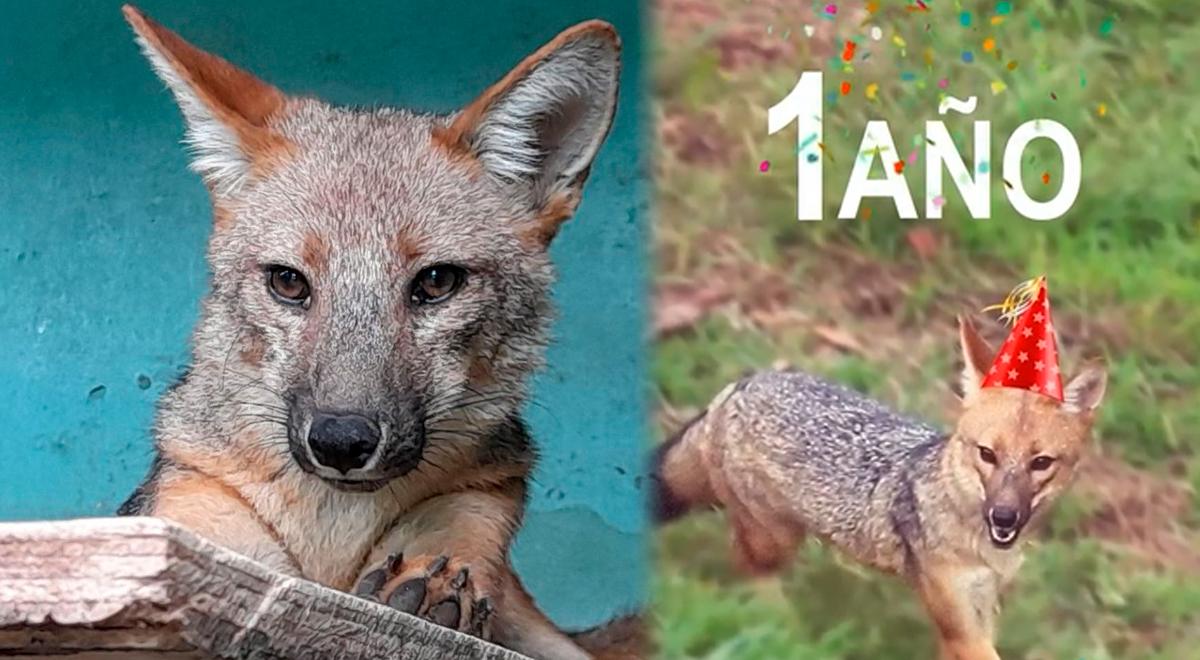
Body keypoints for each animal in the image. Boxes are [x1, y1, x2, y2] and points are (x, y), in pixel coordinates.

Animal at [113, 6, 642, 659]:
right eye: (288, 282)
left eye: (437, 281)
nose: (341, 440)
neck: (333, 546)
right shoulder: (194, 517)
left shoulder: (486, 494)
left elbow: (453, 535)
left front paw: (435, 580)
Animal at [653, 314, 1107, 660]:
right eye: (987, 454)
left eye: (1040, 463)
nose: (1004, 516)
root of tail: (738, 387)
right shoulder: (960, 623)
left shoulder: (976, 614)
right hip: (774, 539)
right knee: (743, 566)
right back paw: (778, 628)